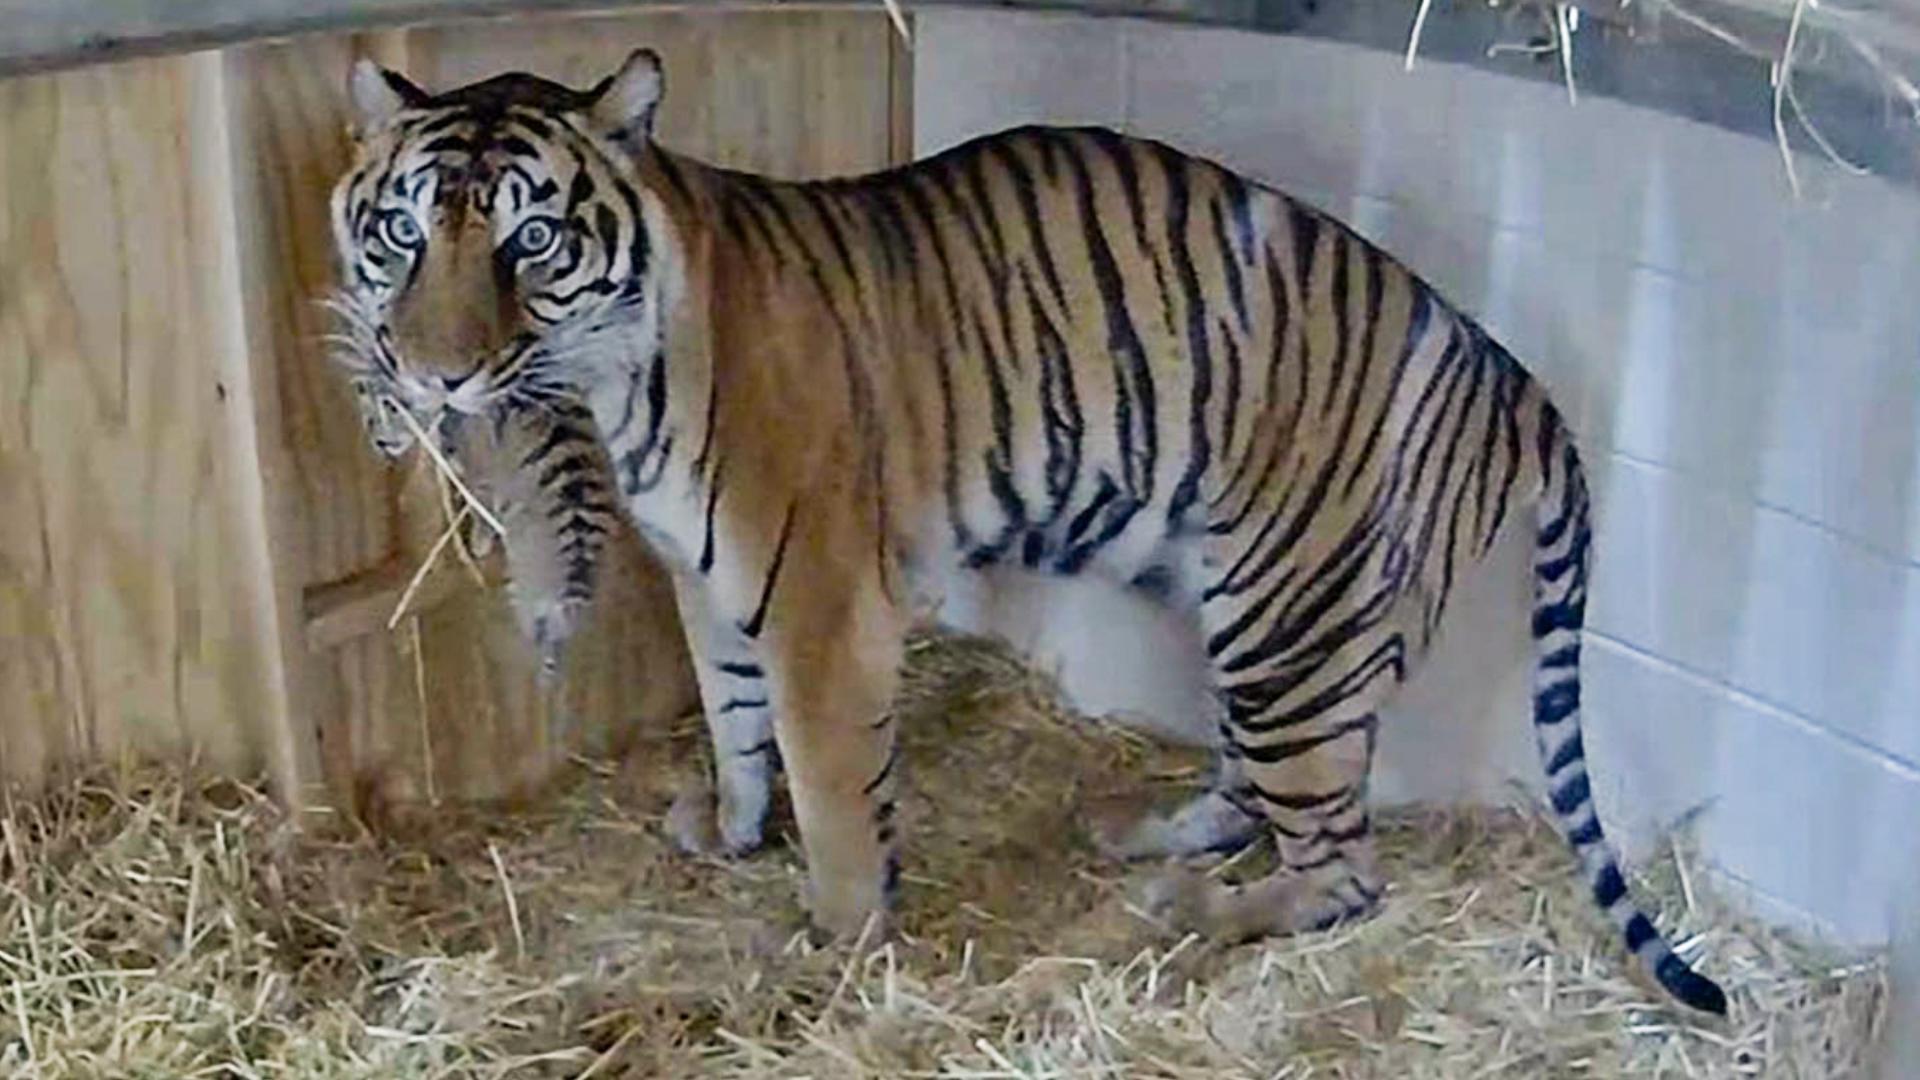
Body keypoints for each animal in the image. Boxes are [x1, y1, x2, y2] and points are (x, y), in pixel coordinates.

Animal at [325, 49, 1727, 1015]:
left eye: (531, 239)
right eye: (403, 231)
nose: (436, 376)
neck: (626, 373)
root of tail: (1509, 368)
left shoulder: (820, 604)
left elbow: (832, 786)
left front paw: (838, 943)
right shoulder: (707, 579)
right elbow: (732, 723)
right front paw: (729, 829)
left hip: (1295, 618)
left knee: (1344, 867)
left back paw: (1189, 904)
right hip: (1256, 617)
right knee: (1263, 790)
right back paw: (1146, 835)